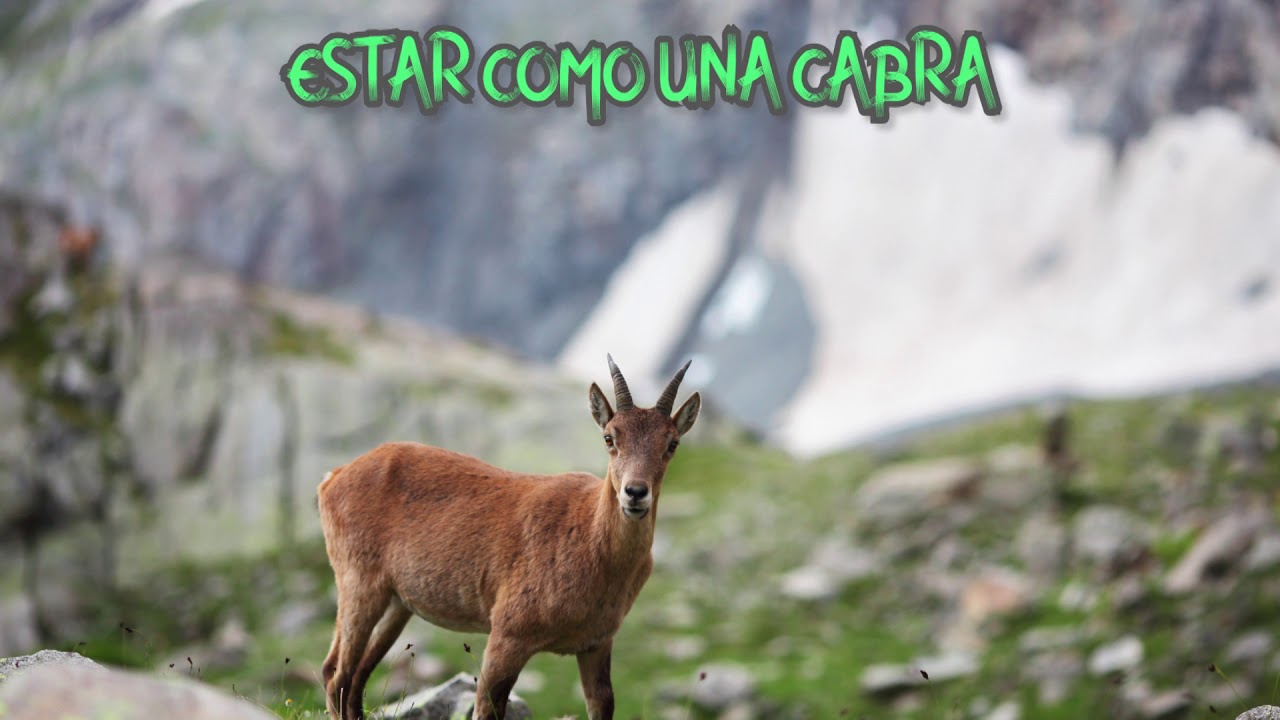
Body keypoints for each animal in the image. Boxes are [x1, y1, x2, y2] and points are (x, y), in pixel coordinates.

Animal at [317, 355, 701, 720]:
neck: (593, 547)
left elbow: (602, 703)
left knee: (356, 676)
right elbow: (488, 706)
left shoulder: (596, 644)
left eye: (672, 443)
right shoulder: (508, 634)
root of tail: (334, 477)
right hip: (358, 583)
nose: (635, 493)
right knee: (335, 672)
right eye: (610, 437)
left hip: (396, 602)